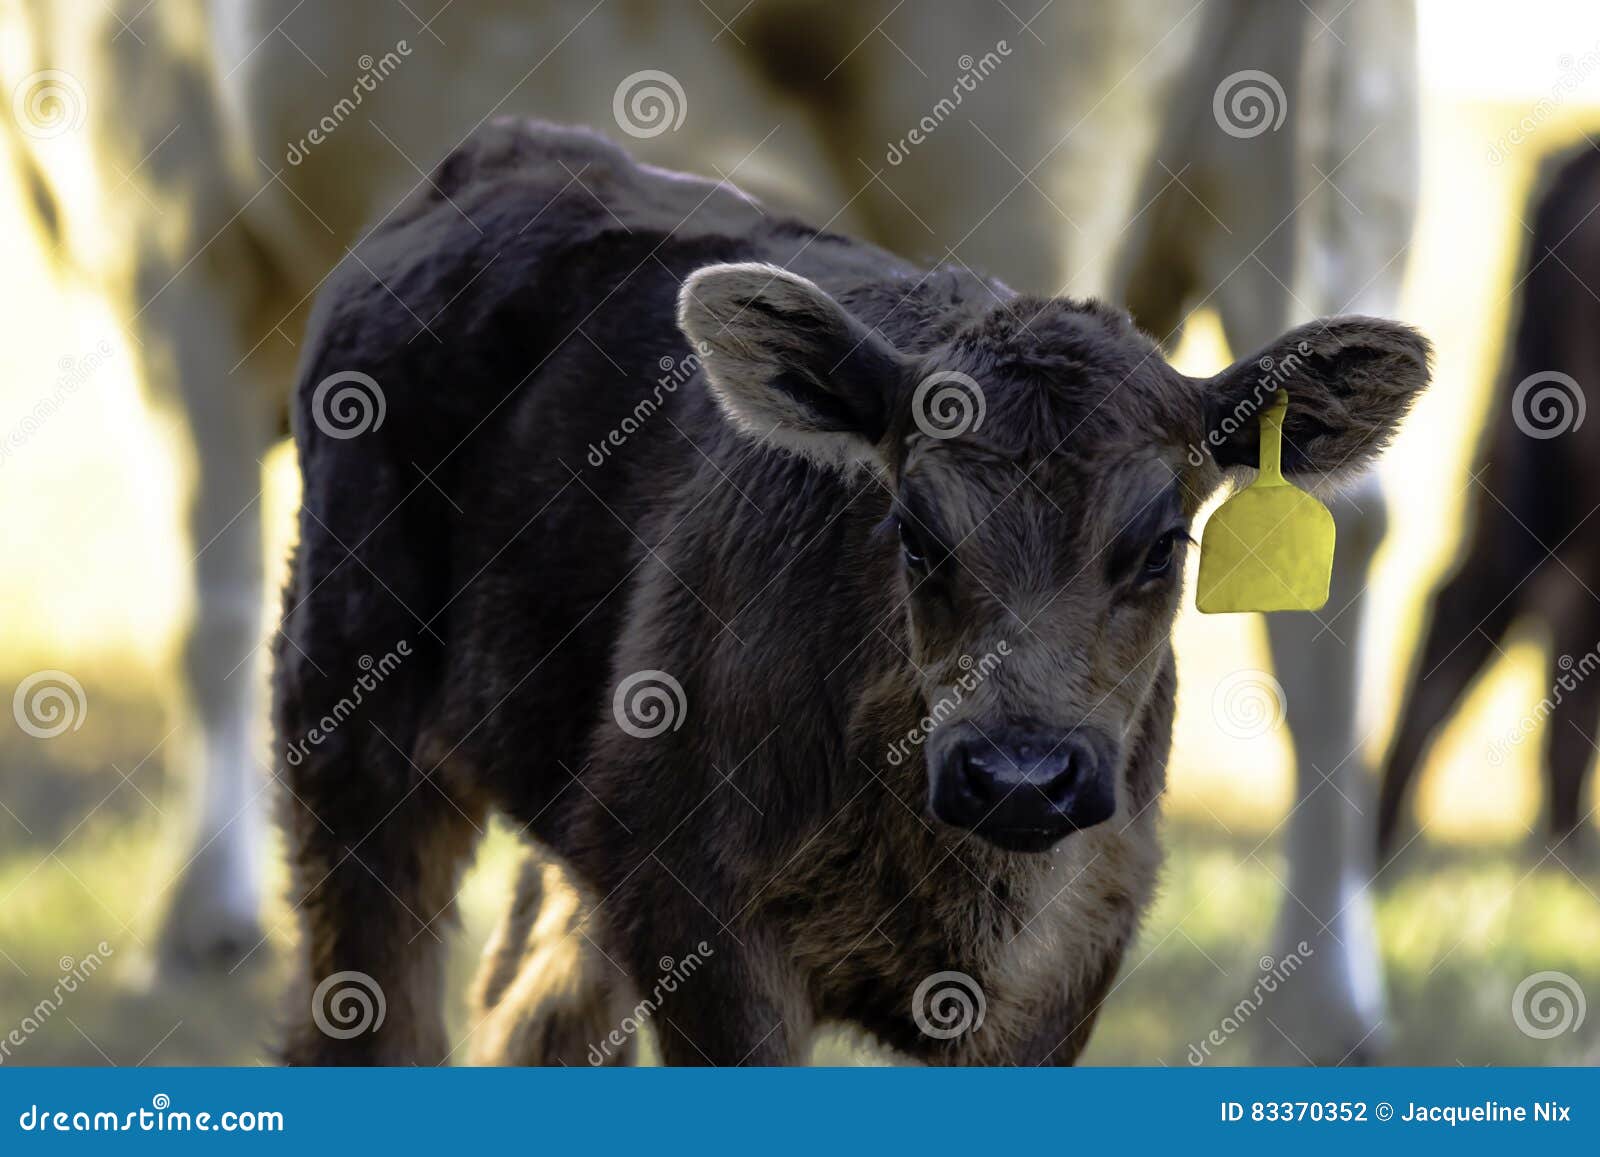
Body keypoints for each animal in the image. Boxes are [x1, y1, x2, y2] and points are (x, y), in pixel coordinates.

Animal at [5, 0, 1417, 1061]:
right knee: (382, 1017)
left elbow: (203, 590)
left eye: (1162, 543)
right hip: (362, 736)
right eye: (911, 530)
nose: (1021, 772)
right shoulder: (702, 921)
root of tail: (516, 149)